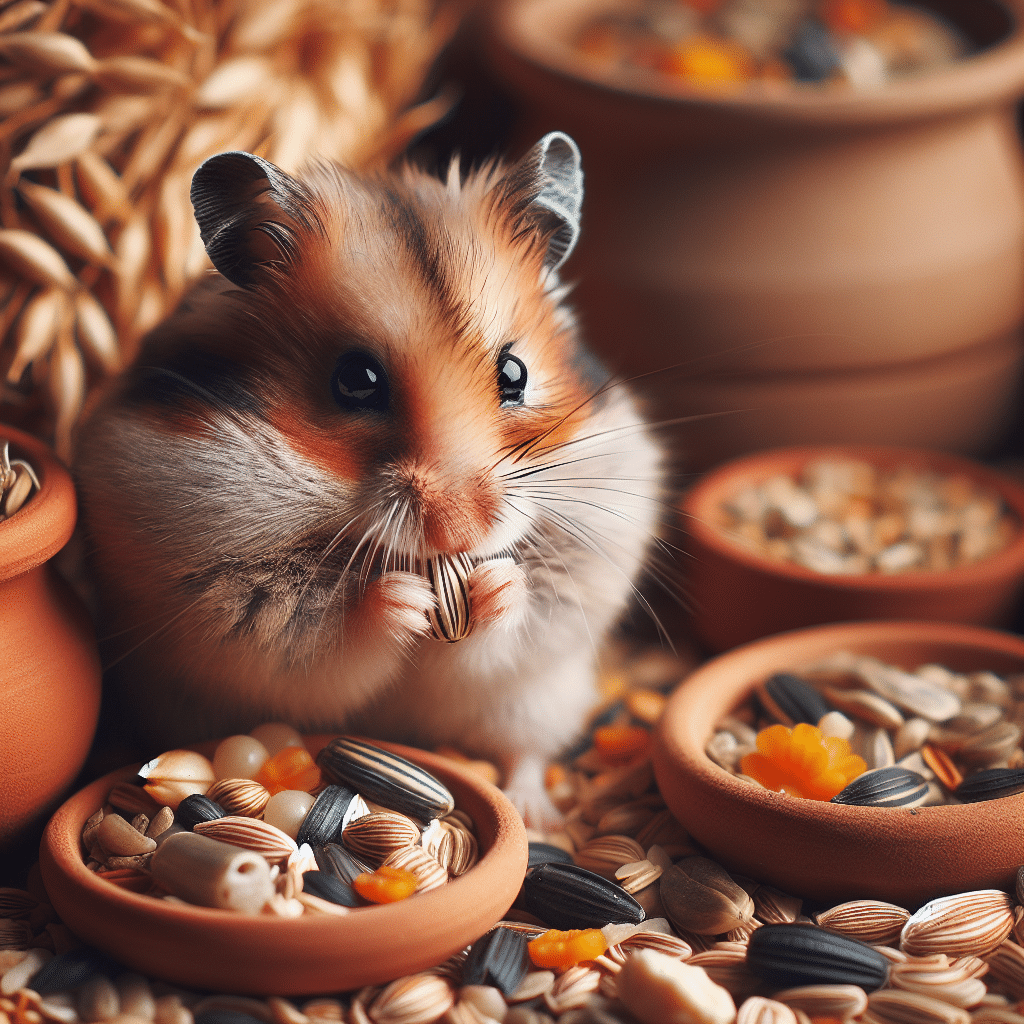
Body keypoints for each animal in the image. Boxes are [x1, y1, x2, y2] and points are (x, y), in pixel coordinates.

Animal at [74, 132, 665, 826]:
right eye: (355, 380)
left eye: (515, 374)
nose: (462, 531)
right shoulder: (219, 593)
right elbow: (325, 626)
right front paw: (402, 599)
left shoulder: (578, 573)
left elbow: (523, 607)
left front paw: (492, 584)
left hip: (537, 702)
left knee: (523, 752)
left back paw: (535, 814)